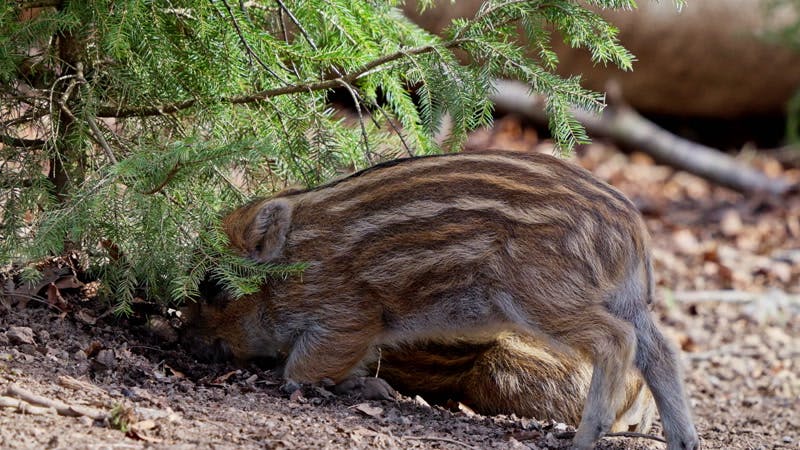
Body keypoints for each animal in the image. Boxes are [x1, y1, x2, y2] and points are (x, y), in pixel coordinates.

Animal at [184, 150, 699, 450]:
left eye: (217, 289)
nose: (189, 340)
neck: (295, 264)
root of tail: (633, 229)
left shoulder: (348, 314)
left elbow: (304, 367)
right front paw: (372, 388)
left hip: (545, 295)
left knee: (617, 341)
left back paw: (584, 438)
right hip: (619, 298)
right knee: (662, 350)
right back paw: (683, 442)